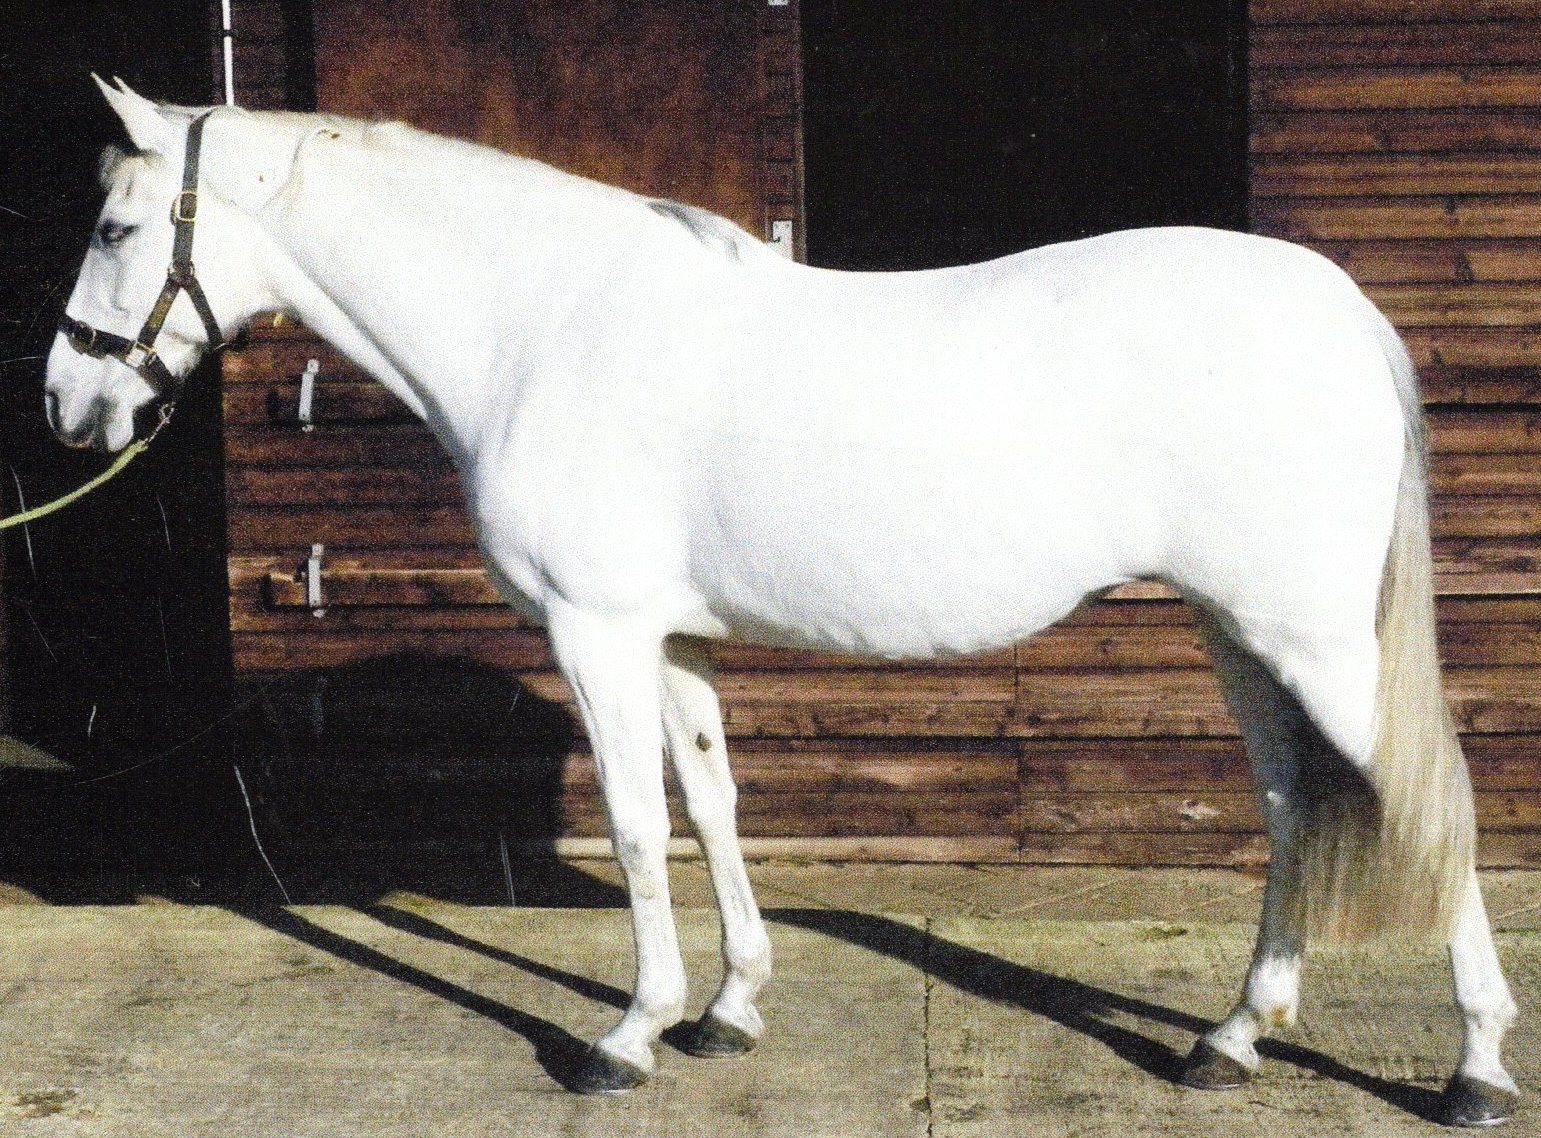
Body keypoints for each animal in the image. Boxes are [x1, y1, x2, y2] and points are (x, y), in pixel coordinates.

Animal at [45, 78, 1518, 1124]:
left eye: (116, 229)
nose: (67, 406)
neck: (544, 329)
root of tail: (1340, 309)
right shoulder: (669, 638)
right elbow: (711, 807)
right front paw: (728, 1010)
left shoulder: (595, 629)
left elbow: (637, 826)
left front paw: (628, 1034)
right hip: (1239, 632)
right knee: (1290, 805)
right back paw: (1228, 1039)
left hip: (1310, 638)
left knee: (1430, 801)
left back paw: (1474, 1071)